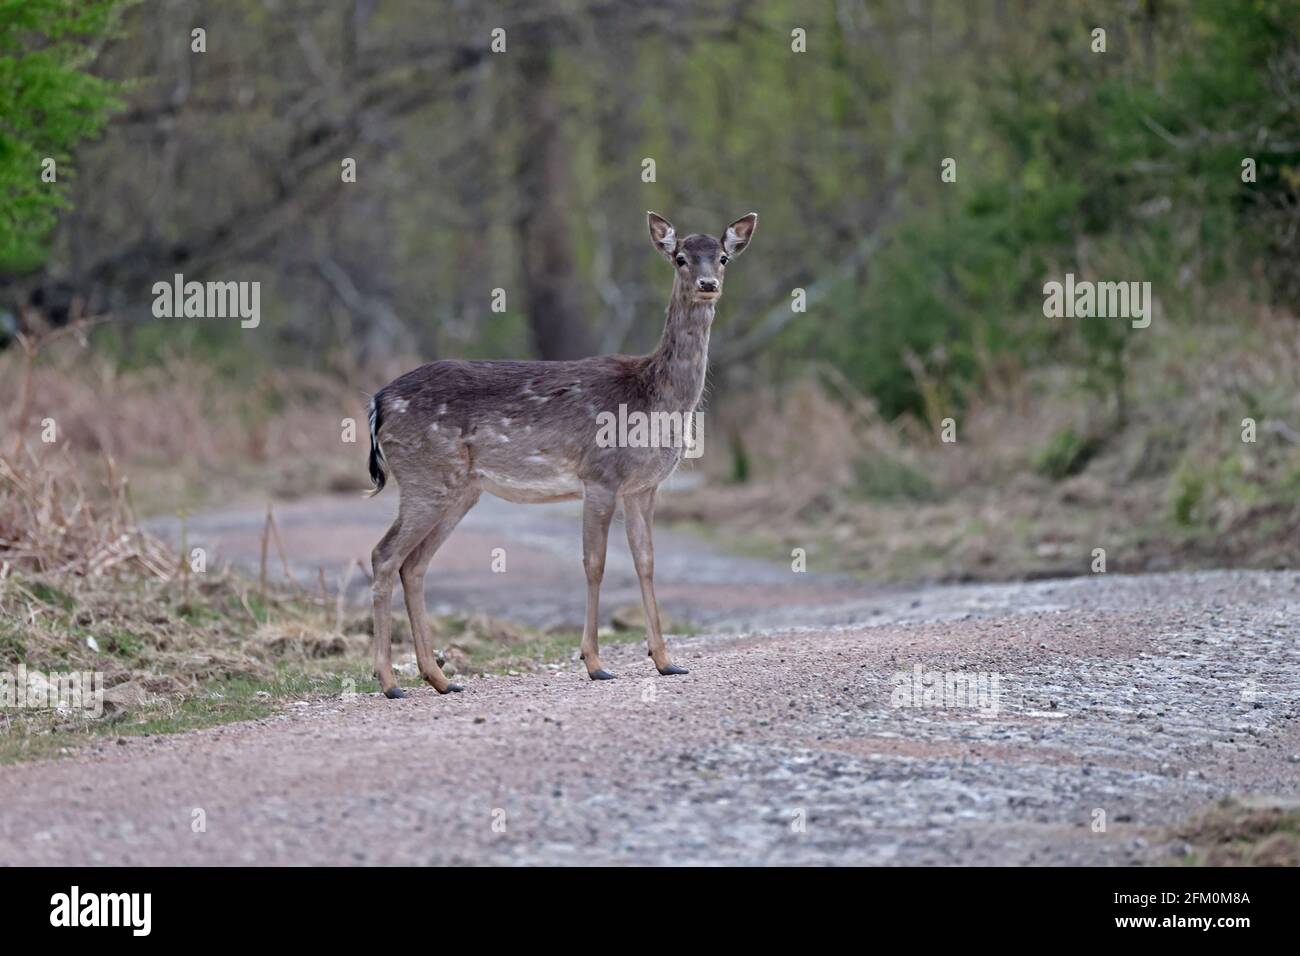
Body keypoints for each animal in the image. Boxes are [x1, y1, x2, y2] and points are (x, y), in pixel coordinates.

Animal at [364, 211, 757, 698]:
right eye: (681, 257)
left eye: (722, 257)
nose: (707, 283)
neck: (656, 400)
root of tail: (378, 402)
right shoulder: (601, 475)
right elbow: (595, 563)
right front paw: (596, 664)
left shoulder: (643, 487)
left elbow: (646, 561)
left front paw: (666, 661)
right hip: (425, 474)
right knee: (384, 555)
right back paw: (389, 681)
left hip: (459, 489)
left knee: (414, 564)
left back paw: (439, 678)